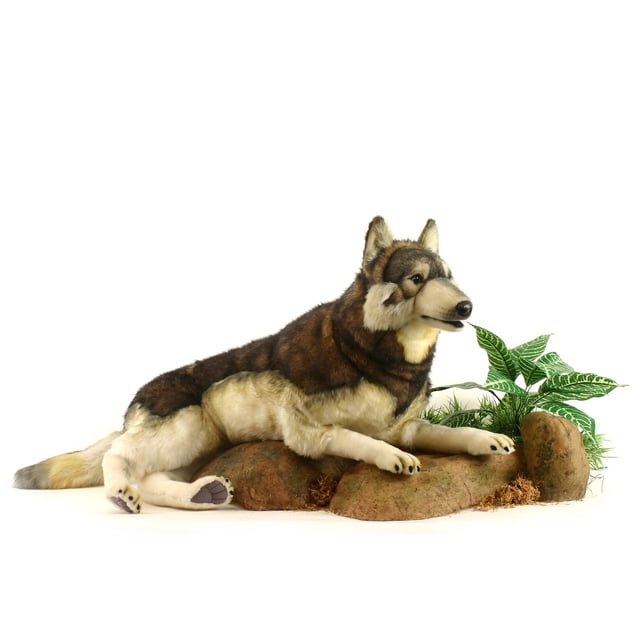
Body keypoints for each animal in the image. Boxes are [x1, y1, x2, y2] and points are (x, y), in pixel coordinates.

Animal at [15, 217, 515, 513]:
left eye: (449, 275)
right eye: (416, 279)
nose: (467, 307)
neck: (375, 355)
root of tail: (130, 410)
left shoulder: (407, 426)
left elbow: (448, 433)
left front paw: (485, 439)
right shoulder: (308, 433)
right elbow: (359, 438)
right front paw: (392, 458)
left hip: (196, 447)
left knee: (152, 476)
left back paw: (203, 493)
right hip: (188, 427)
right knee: (117, 457)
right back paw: (122, 495)